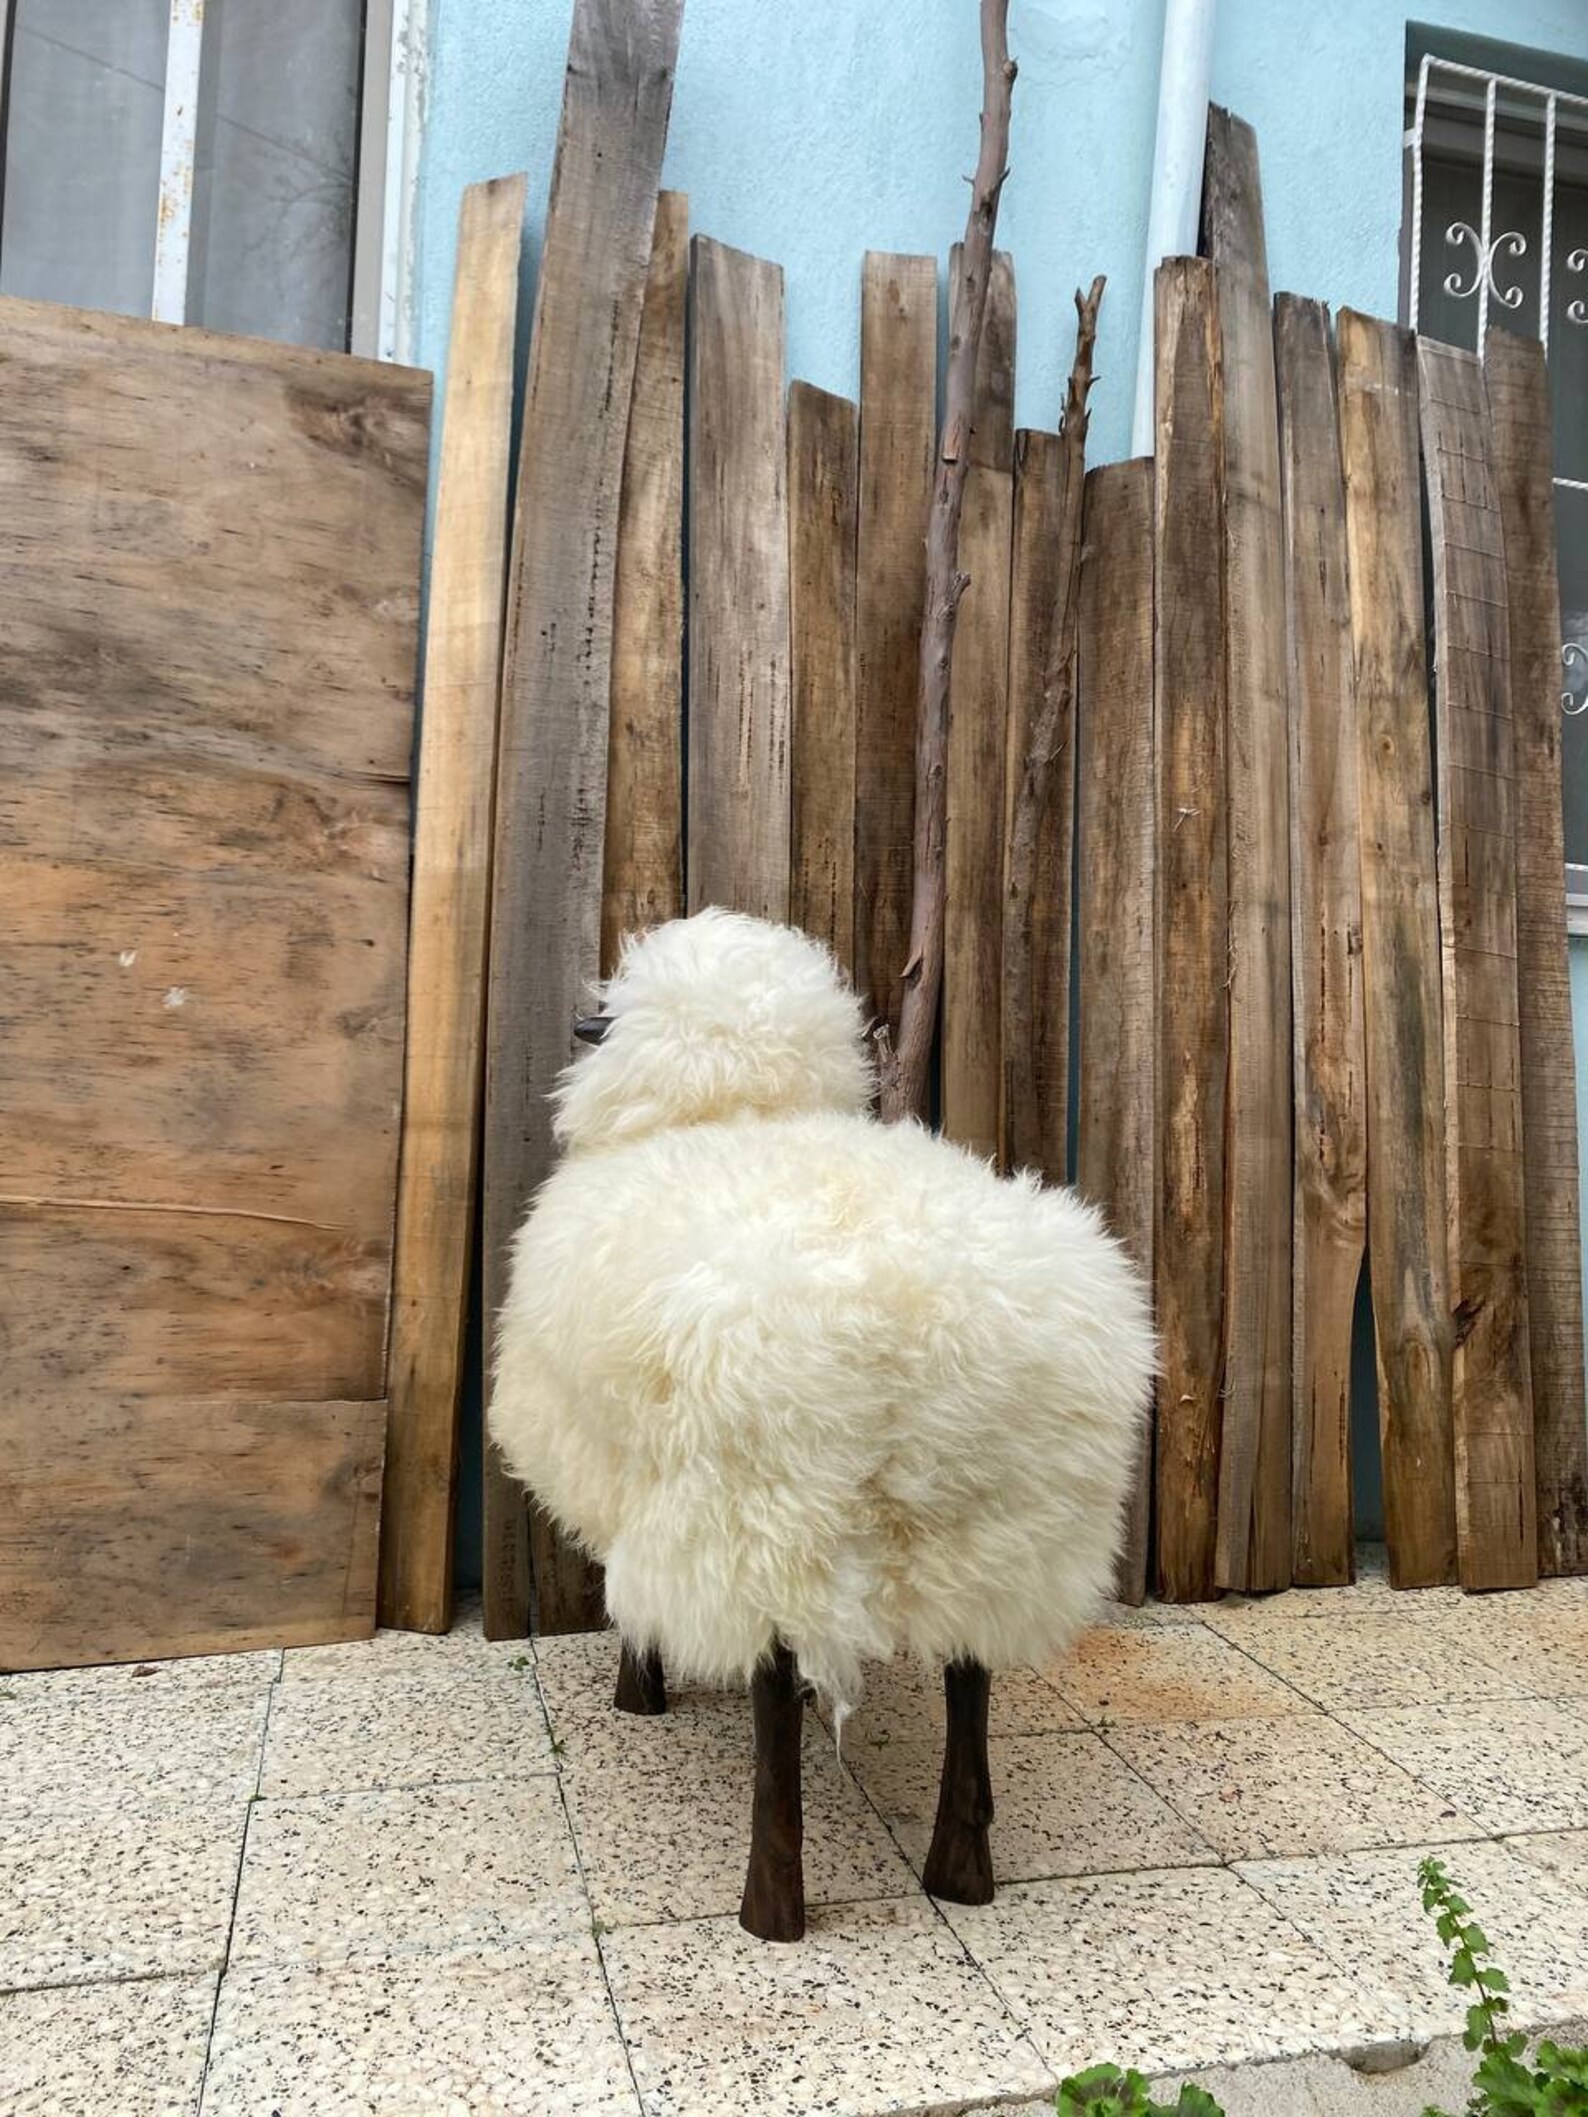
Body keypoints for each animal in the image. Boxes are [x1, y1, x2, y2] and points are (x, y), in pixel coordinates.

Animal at [489, 906, 1155, 1940]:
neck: (738, 1105)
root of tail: (926, 1317)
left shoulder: (633, 1476)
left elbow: (636, 1609)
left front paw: (639, 1689)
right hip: (1004, 1529)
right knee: (972, 1676)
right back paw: (960, 1860)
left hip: (762, 1520)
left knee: (774, 1700)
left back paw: (772, 1902)